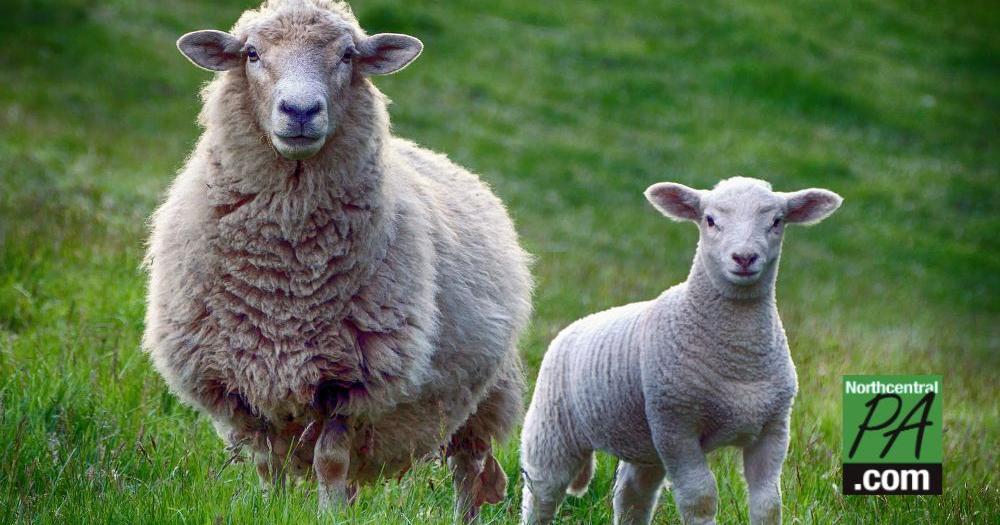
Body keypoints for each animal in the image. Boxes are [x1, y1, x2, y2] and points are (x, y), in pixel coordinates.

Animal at [141, 1, 532, 521]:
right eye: (251, 53)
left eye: (348, 55)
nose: (300, 111)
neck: (285, 280)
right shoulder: (240, 382)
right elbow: (267, 463)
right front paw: (272, 509)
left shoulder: (350, 384)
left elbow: (329, 462)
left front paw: (328, 516)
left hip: (485, 400)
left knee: (470, 473)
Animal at [519, 177, 842, 525]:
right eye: (710, 220)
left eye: (777, 221)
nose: (744, 258)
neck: (739, 358)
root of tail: (572, 327)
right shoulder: (676, 427)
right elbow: (700, 497)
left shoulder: (774, 428)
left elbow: (768, 503)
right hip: (552, 428)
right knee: (542, 492)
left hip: (644, 442)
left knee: (633, 495)